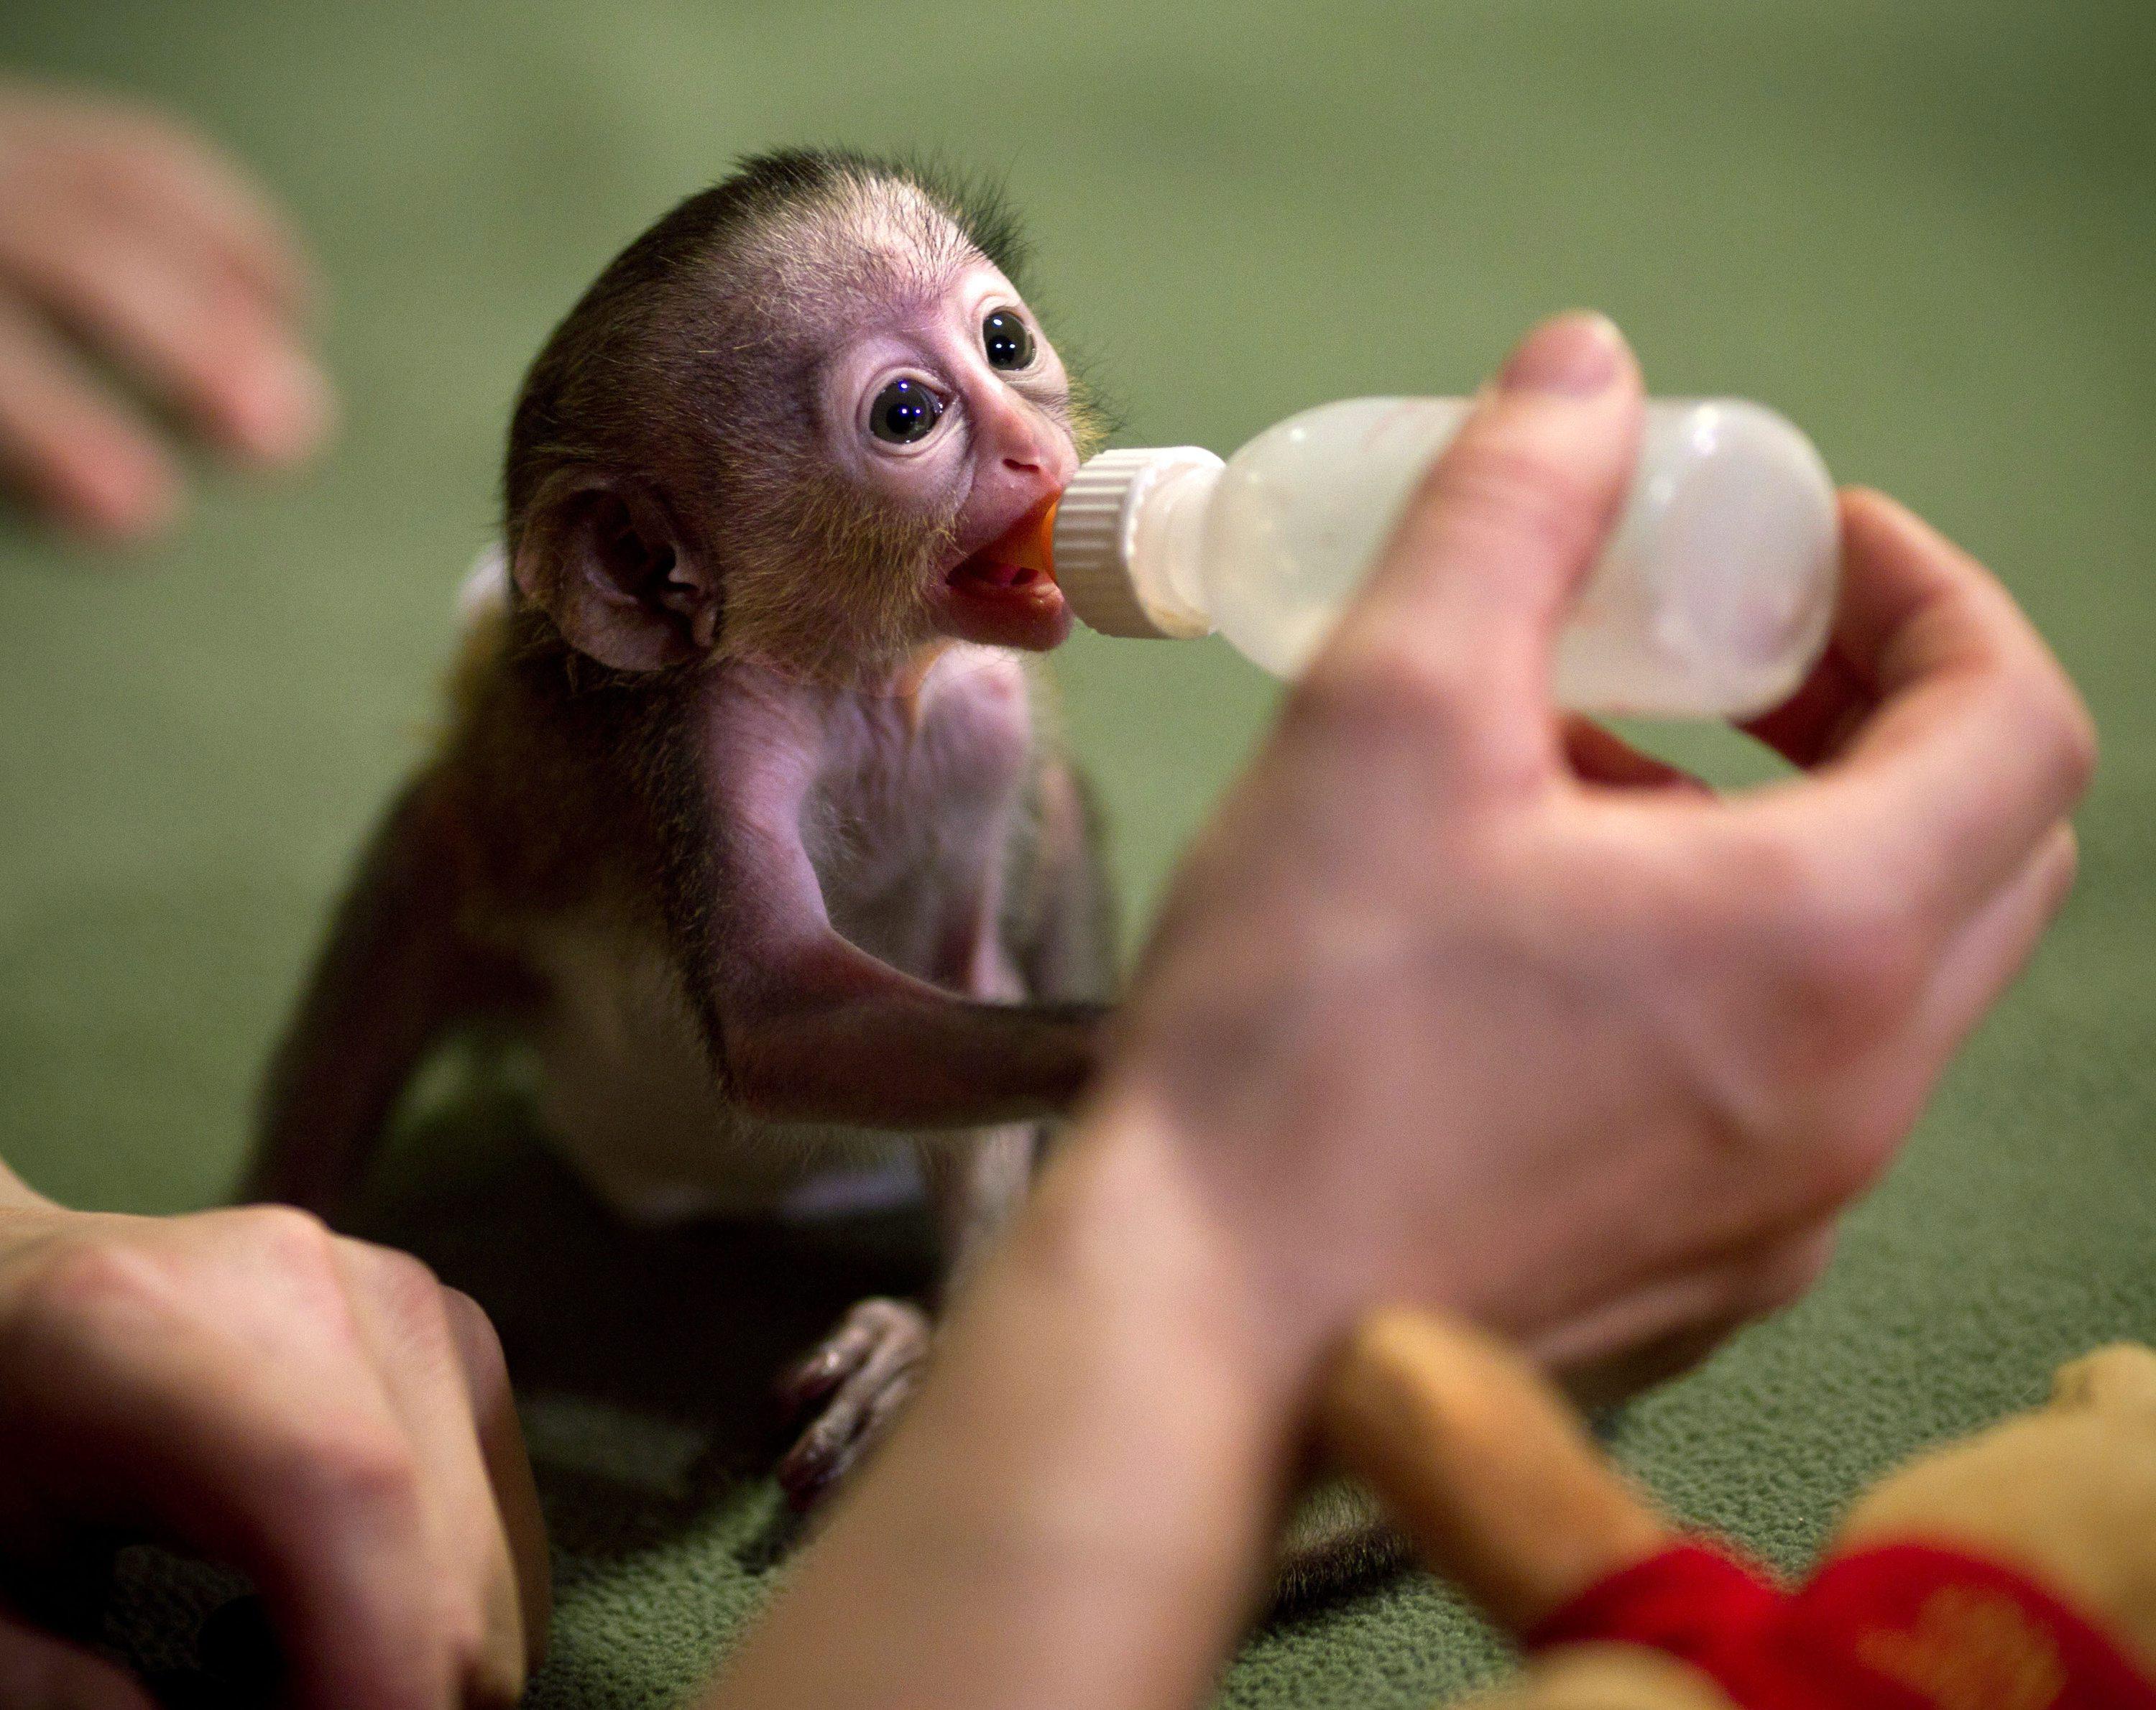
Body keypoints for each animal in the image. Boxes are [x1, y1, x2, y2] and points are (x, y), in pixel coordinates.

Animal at [252, 153, 1121, 1500]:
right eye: (909, 414)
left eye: (1004, 343)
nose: (1036, 454)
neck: (863, 684)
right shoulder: (710, 742)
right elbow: (773, 1018)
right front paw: (1149, 1042)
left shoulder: (988, 723)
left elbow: (969, 965)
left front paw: (938, 1348)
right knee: (430, 854)